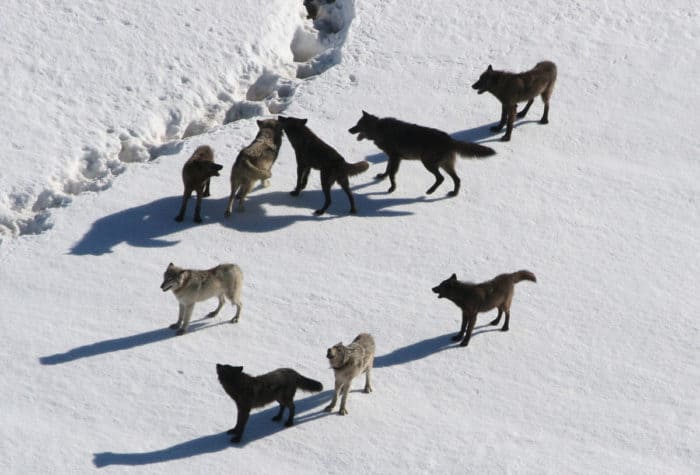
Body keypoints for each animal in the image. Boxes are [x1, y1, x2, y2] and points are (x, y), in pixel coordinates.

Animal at [348, 111, 495, 196]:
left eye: (358, 125)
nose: (349, 130)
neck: (379, 129)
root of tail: (450, 140)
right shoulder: (392, 157)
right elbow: (387, 170)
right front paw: (382, 177)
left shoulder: (395, 157)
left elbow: (392, 174)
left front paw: (392, 188)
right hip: (444, 165)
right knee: (457, 179)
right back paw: (453, 193)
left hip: (427, 162)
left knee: (441, 178)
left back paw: (430, 191)